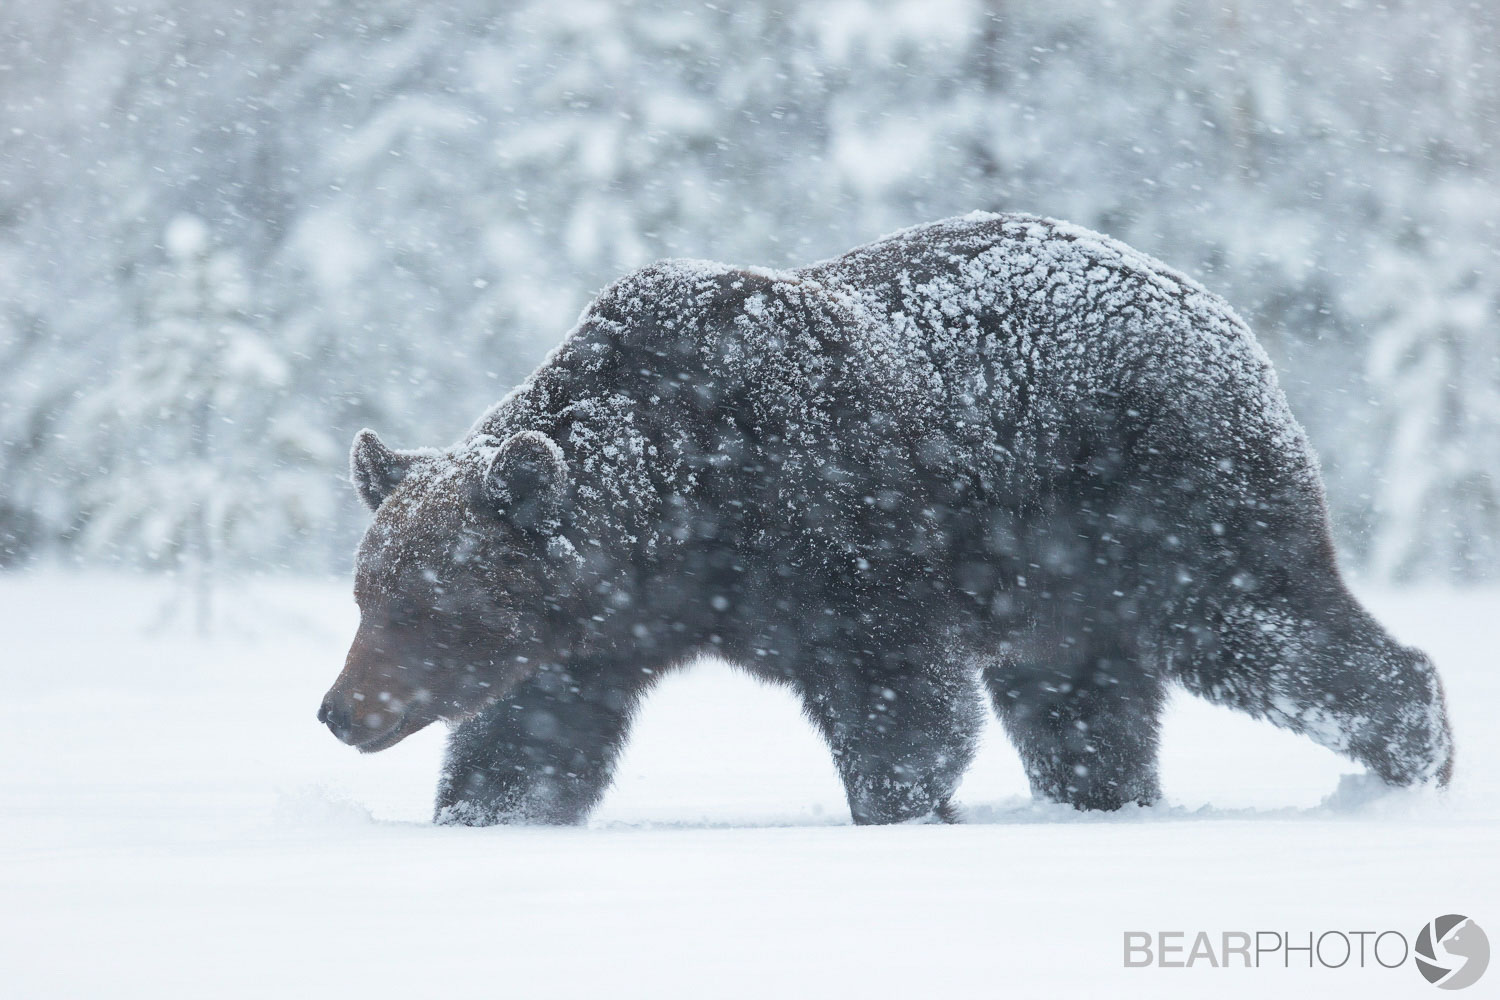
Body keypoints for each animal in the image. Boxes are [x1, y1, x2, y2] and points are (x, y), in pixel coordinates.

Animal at [318, 212, 1454, 825]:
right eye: (367, 595)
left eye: (423, 604)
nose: (340, 710)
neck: (682, 524)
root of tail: (1219, 311)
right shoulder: (594, 634)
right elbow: (532, 736)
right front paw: (477, 813)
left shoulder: (848, 536)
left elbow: (900, 705)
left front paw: (901, 804)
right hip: (1060, 591)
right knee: (1081, 707)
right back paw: (1101, 797)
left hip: (1162, 501)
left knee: (1265, 624)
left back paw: (1418, 753)